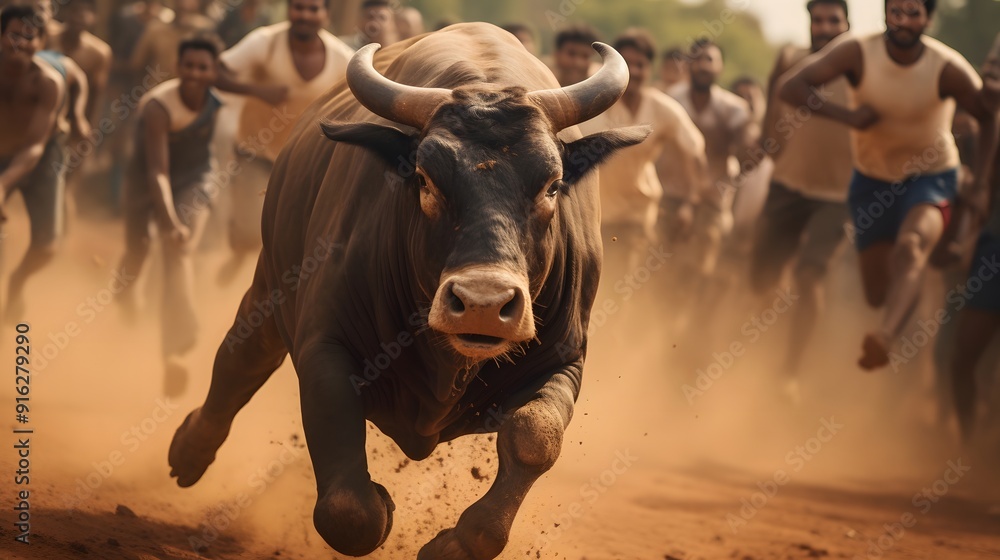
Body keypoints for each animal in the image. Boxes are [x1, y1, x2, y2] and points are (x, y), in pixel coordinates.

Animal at [167, 22, 649, 559]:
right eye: (424, 179)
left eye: (552, 185)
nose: (482, 305)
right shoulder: (324, 345)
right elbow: (348, 506)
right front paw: (380, 503)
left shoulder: (564, 358)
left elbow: (535, 435)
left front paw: (457, 542)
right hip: (269, 284)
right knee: (239, 360)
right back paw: (188, 451)